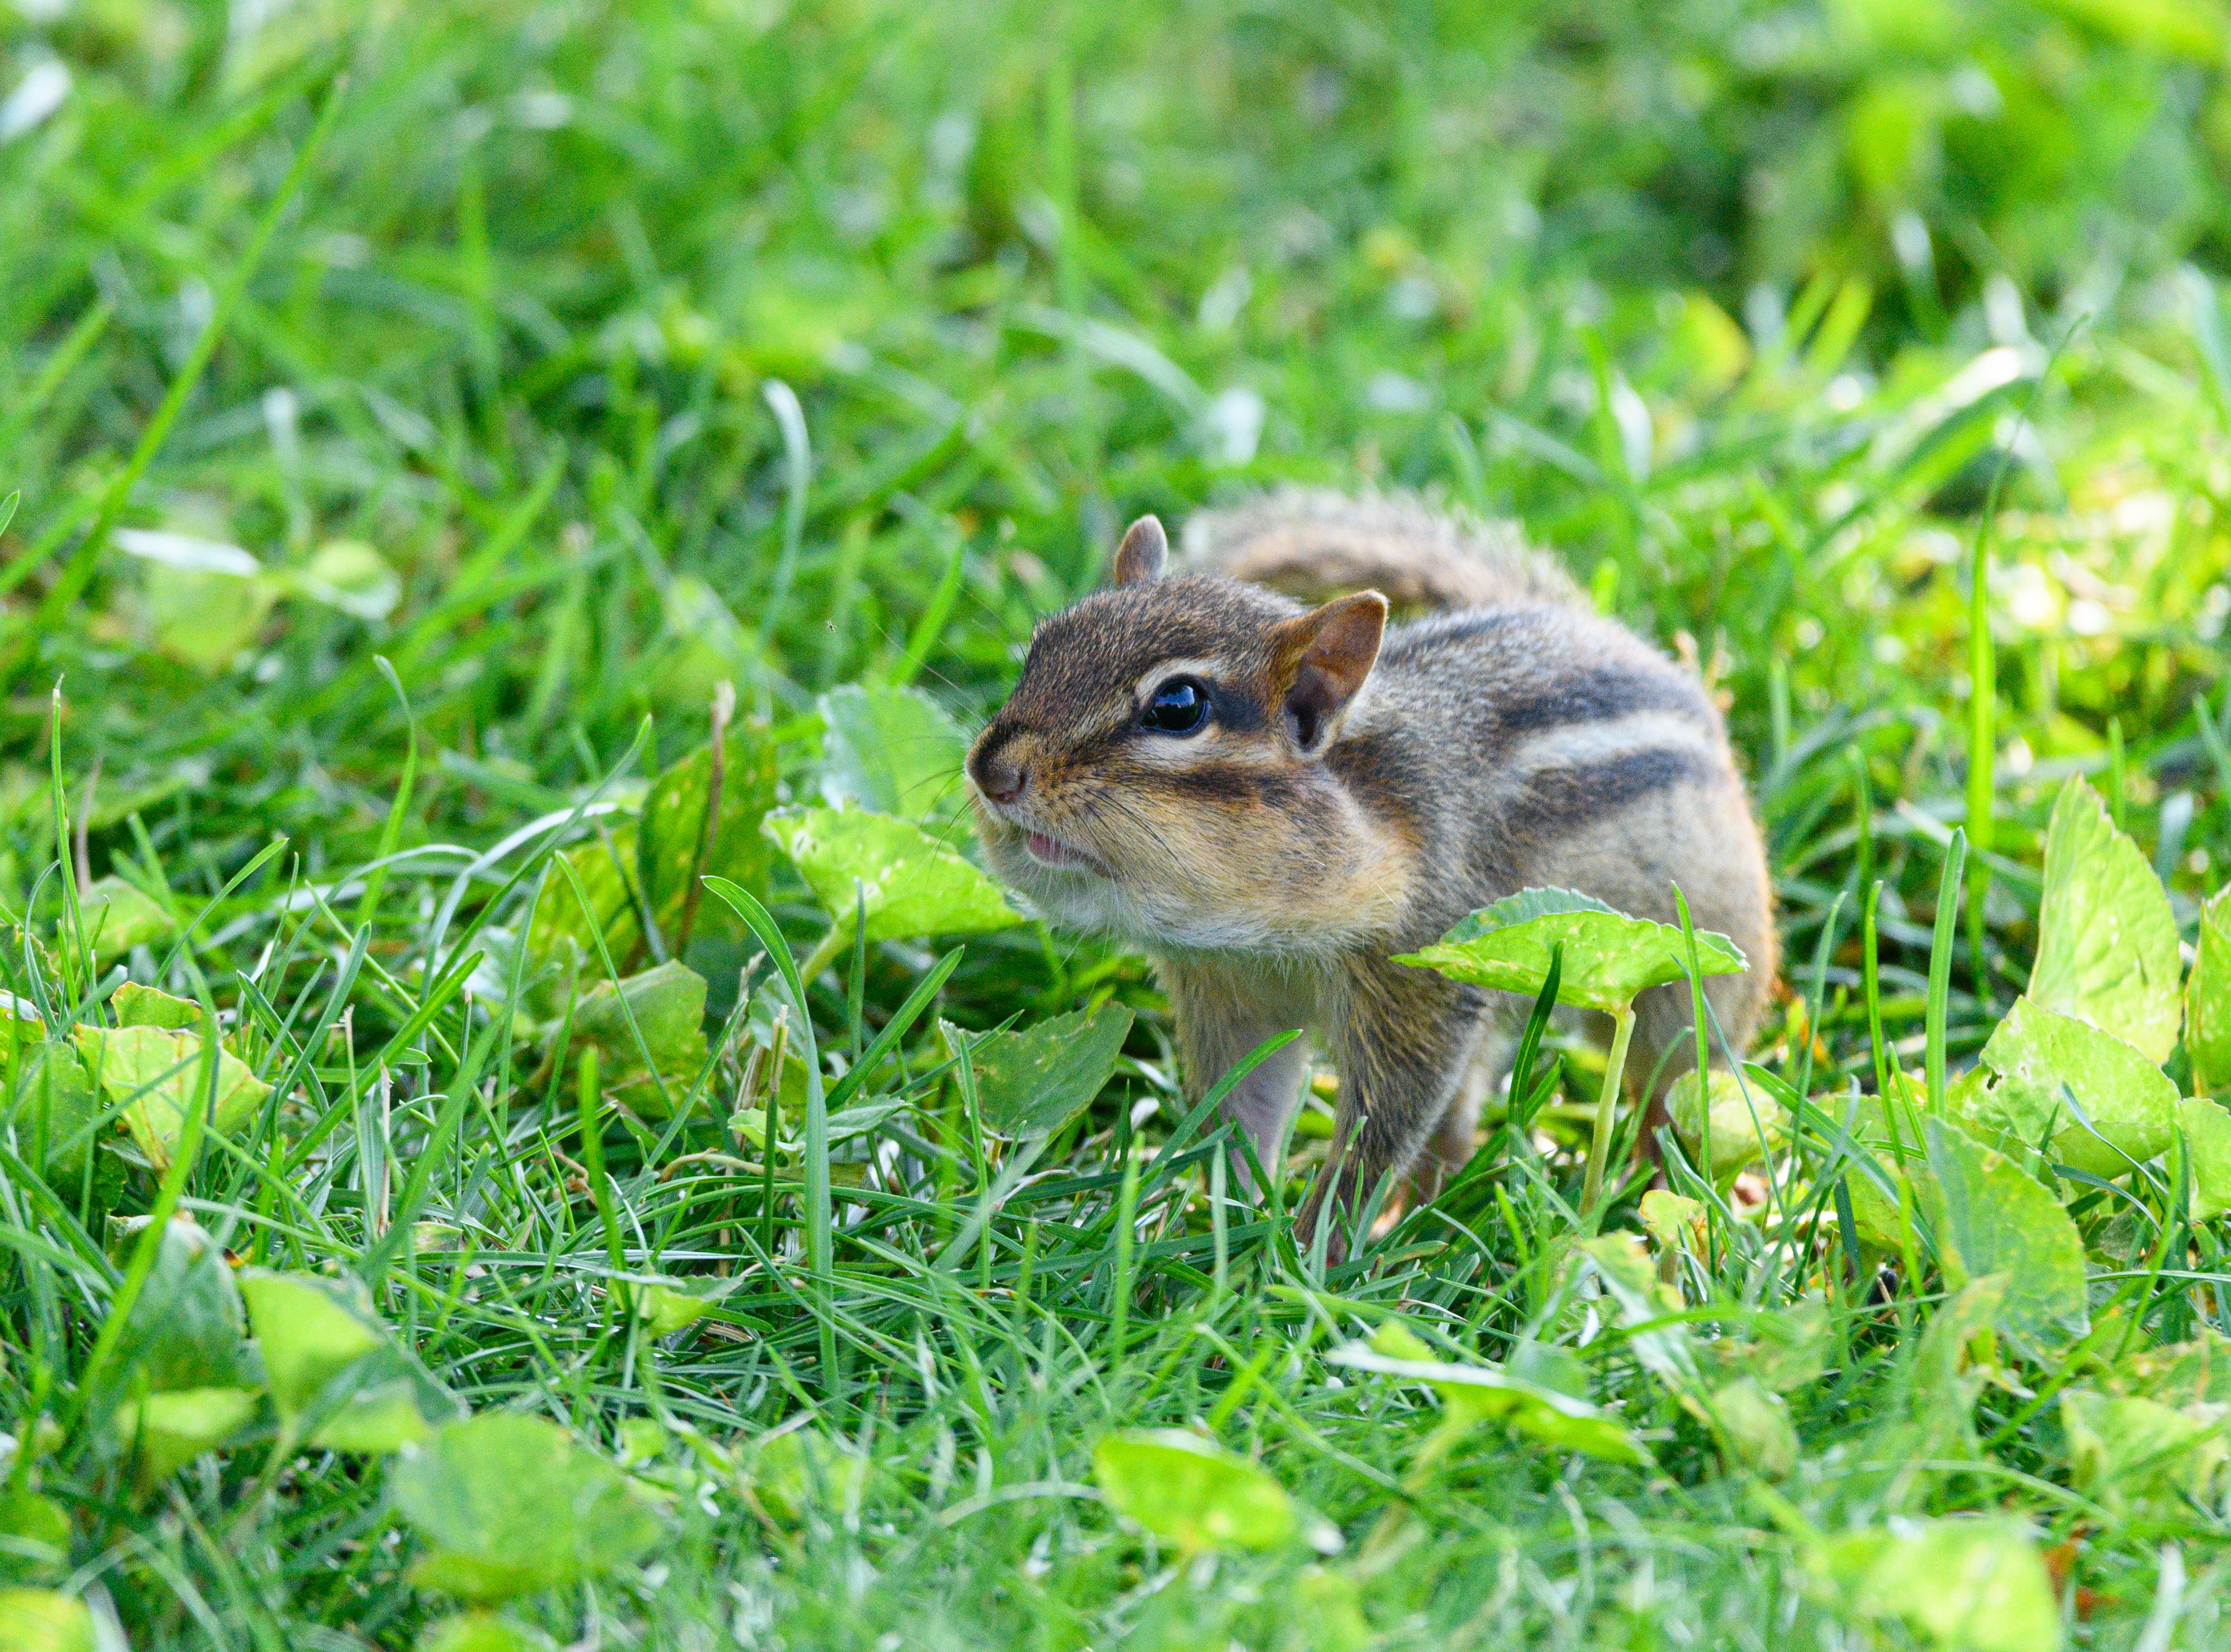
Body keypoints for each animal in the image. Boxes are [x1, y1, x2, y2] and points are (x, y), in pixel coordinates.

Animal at [966, 489, 1776, 1252]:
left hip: (1687, 986)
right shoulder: (1226, 994)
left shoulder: (1420, 982)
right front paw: (1206, 1230)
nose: (991, 772)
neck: (1259, 928)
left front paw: (1308, 1252)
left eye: (1178, 705)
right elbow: (1236, 1116)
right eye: (1041, 647)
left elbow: (1377, 1132)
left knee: (1669, 1092)